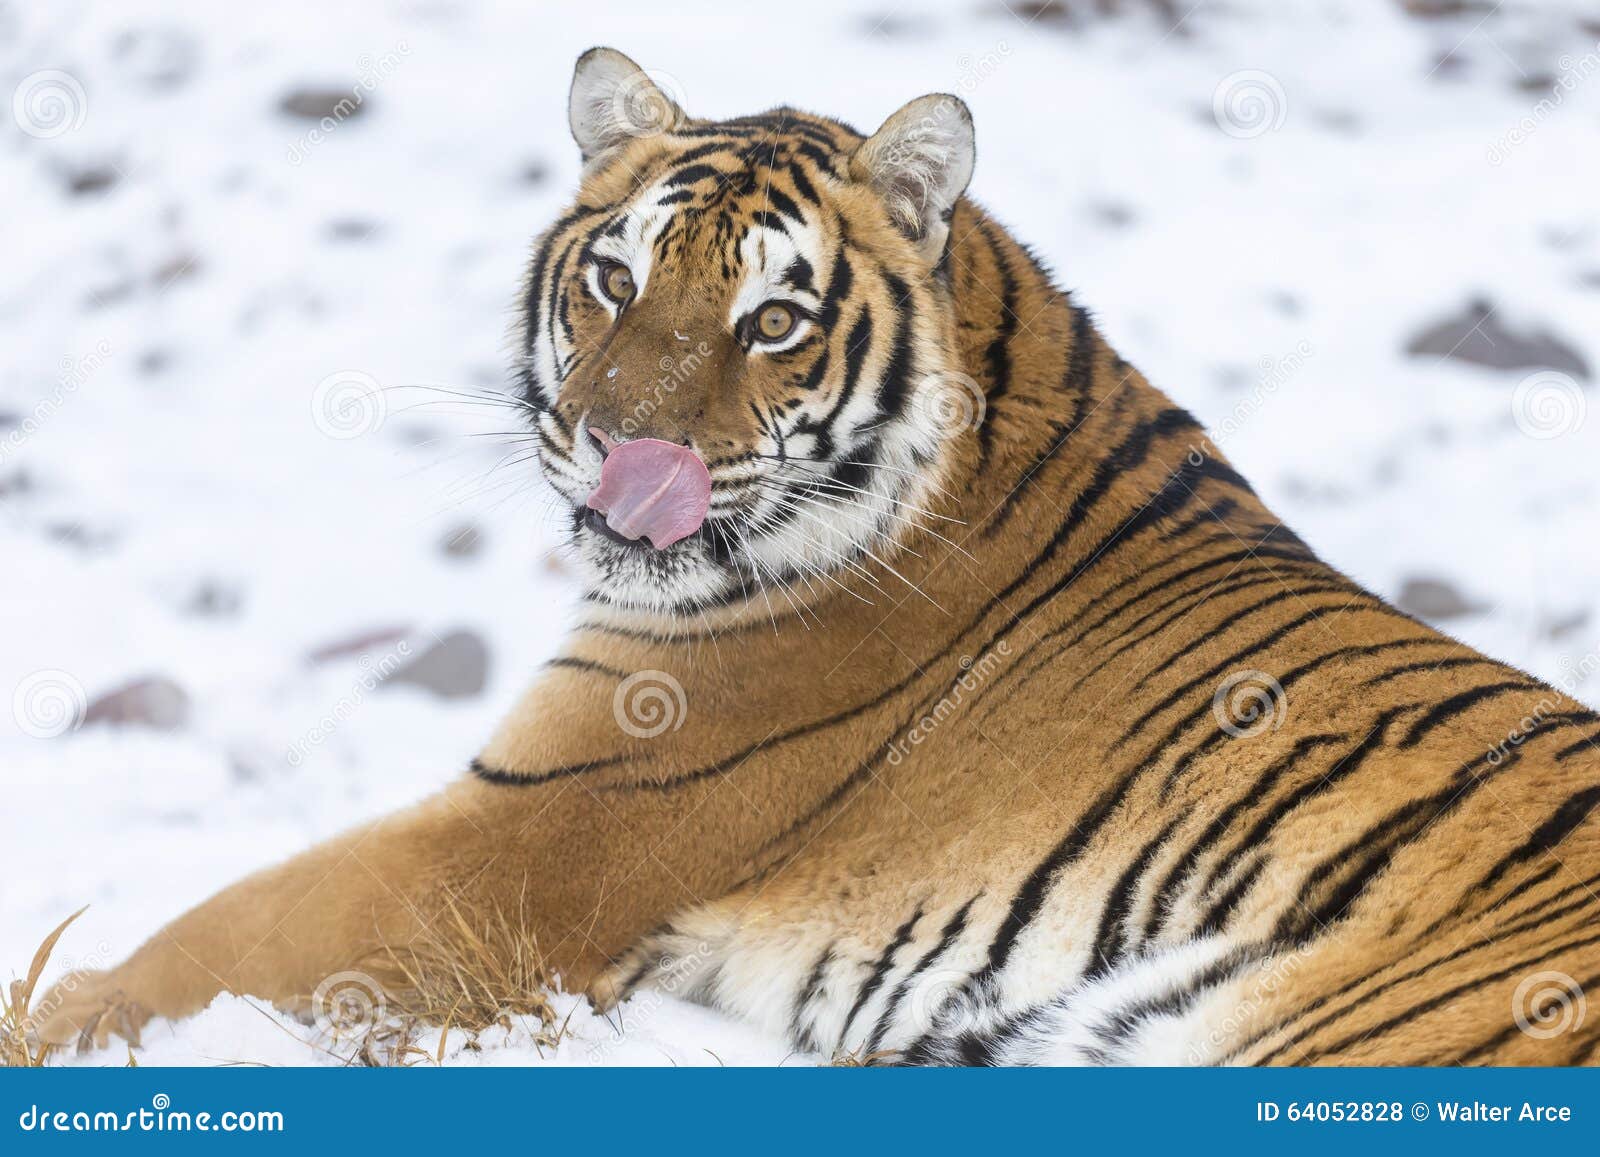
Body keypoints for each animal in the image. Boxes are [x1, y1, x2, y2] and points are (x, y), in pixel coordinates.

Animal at [34, 47, 1600, 1066]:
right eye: (616, 277)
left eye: (772, 322)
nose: (622, 448)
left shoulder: (518, 837)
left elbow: (206, 941)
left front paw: (49, 1012)